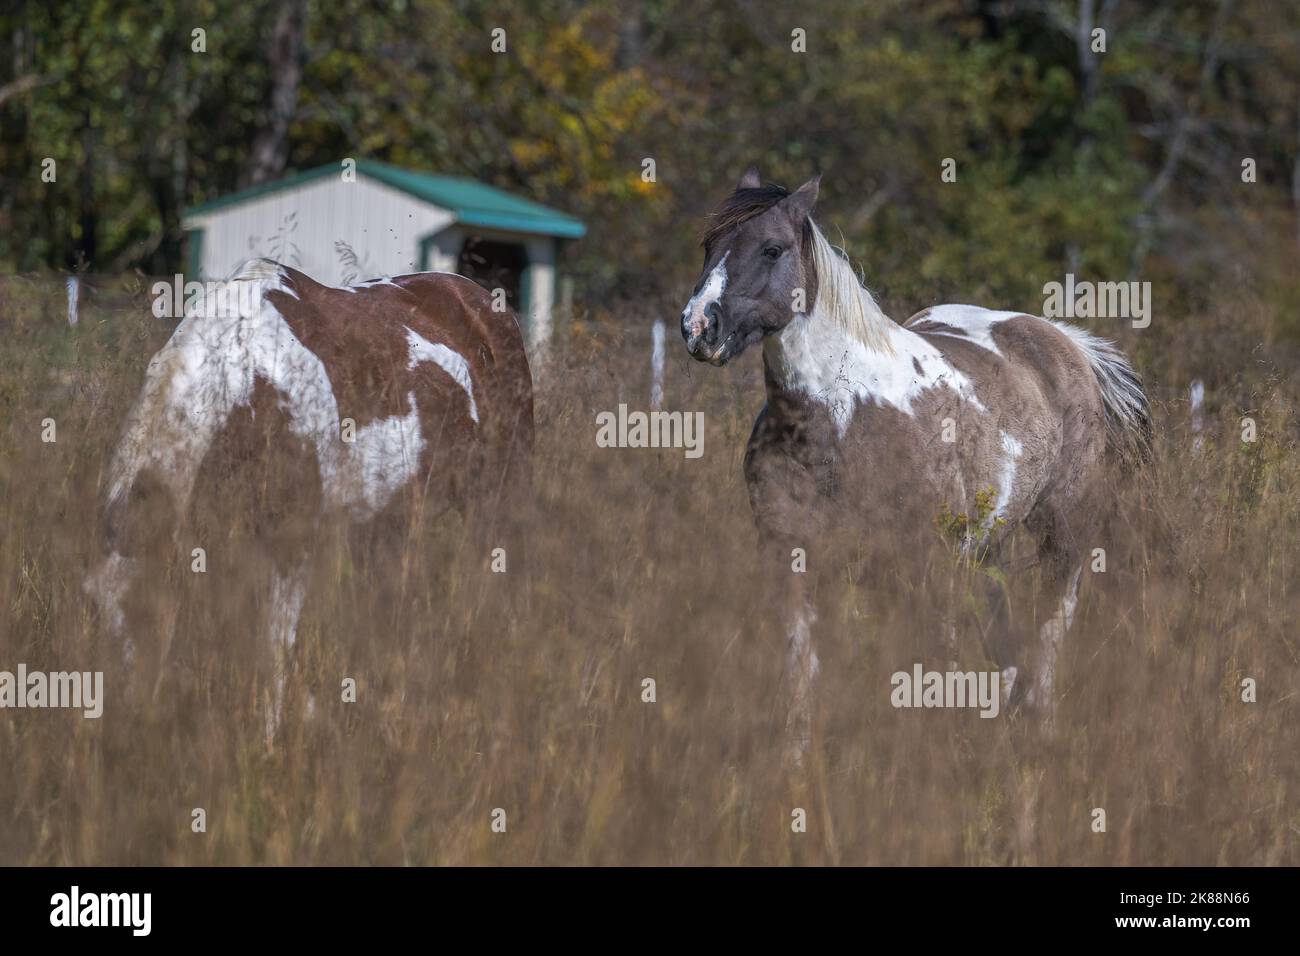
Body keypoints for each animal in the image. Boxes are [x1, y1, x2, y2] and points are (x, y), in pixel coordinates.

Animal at [85, 258, 534, 735]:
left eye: (150, 622)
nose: (129, 725)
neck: (244, 386)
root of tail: (478, 296)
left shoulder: (290, 544)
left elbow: (274, 648)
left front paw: (268, 736)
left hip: (503, 490)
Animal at [679, 168, 1151, 763]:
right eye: (708, 245)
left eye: (771, 248)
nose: (698, 326)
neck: (838, 419)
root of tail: (1067, 344)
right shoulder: (792, 551)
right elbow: (802, 661)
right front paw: (798, 758)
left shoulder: (921, 562)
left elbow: (921, 665)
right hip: (985, 548)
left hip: (1062, 528)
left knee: (1049, 629)